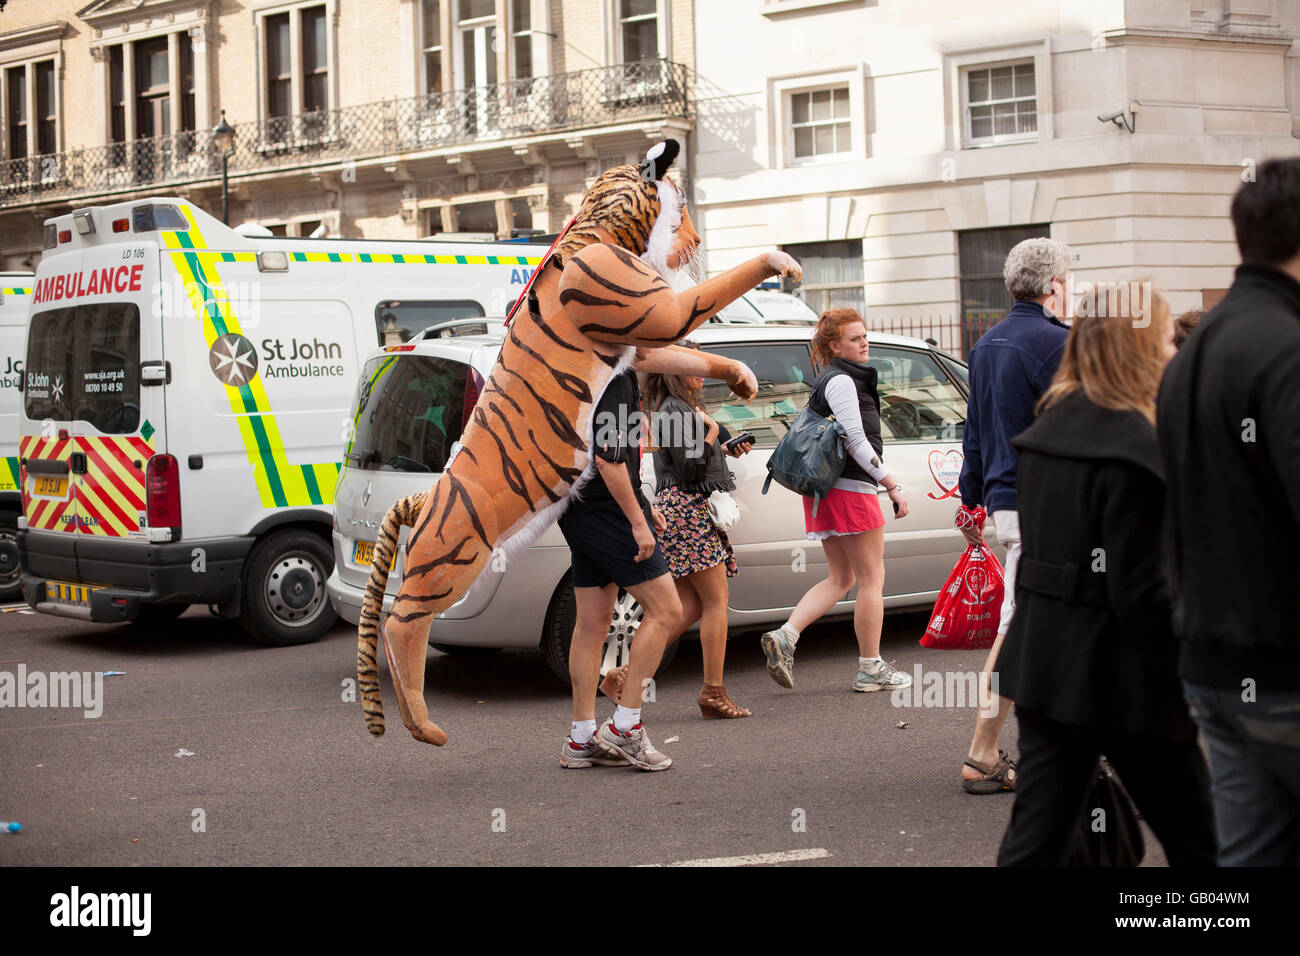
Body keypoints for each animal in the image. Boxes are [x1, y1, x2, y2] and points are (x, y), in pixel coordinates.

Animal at [357, 139, 803, 747]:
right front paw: (778, 262)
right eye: (684, 209)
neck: (606, 228)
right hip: (454, 555)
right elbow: (701, 300)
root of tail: (420, 498)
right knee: (401, 619)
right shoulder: (652, 305)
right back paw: (421, 723)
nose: (696, 240)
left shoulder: (641, 334)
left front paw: (739, 374)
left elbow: (673, 351)